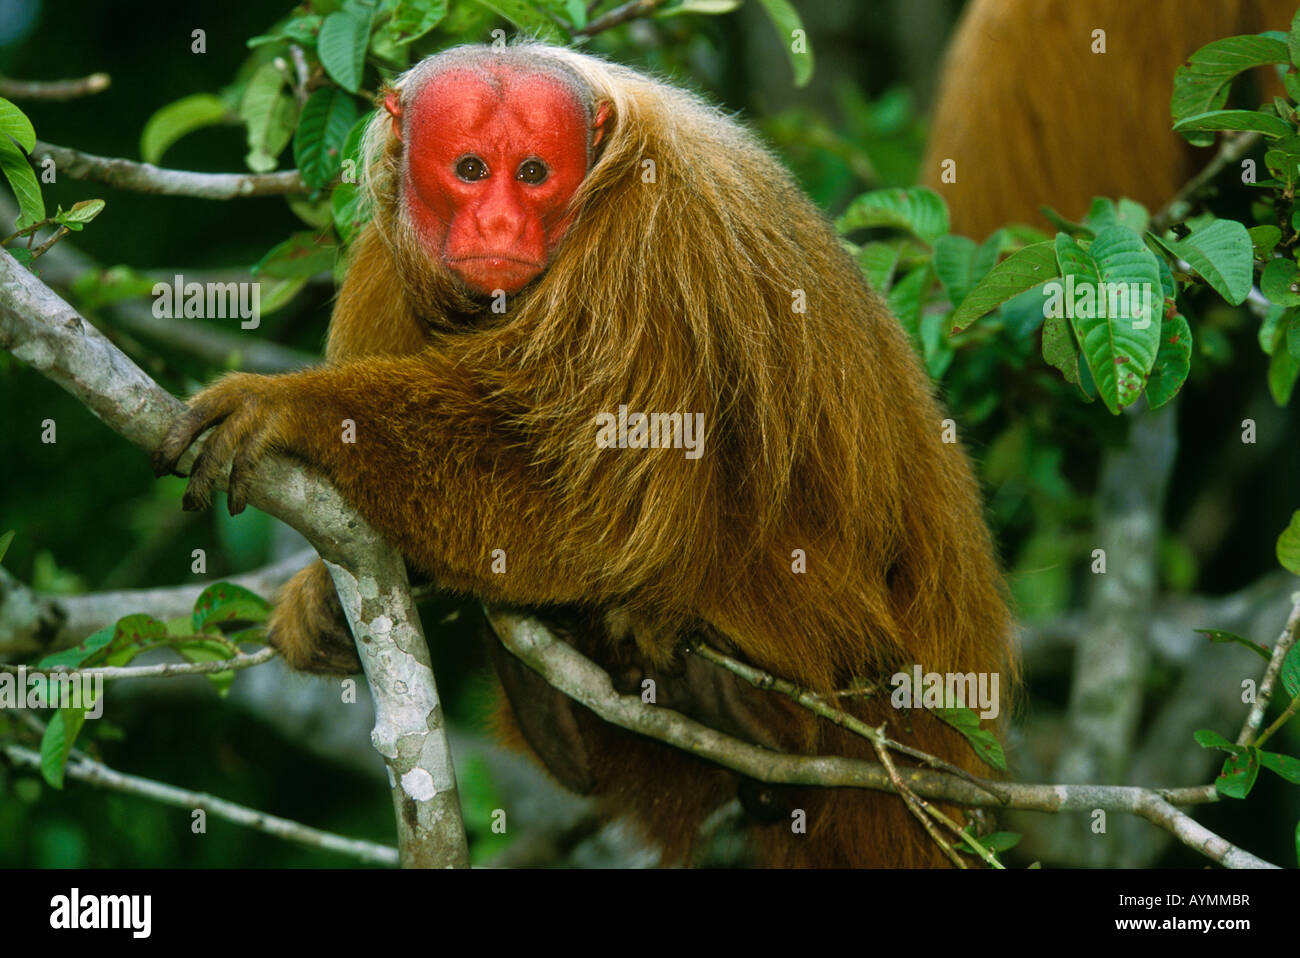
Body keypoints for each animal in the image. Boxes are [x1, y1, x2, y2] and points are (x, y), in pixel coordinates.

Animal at [154, 43, 1014, 868]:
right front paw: (323, 601)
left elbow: (598, 506)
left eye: (534, 174)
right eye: (472, 170)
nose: (501, 225)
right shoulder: (385, 271)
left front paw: (292, 411)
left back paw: (736, 701)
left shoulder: (648, 245)